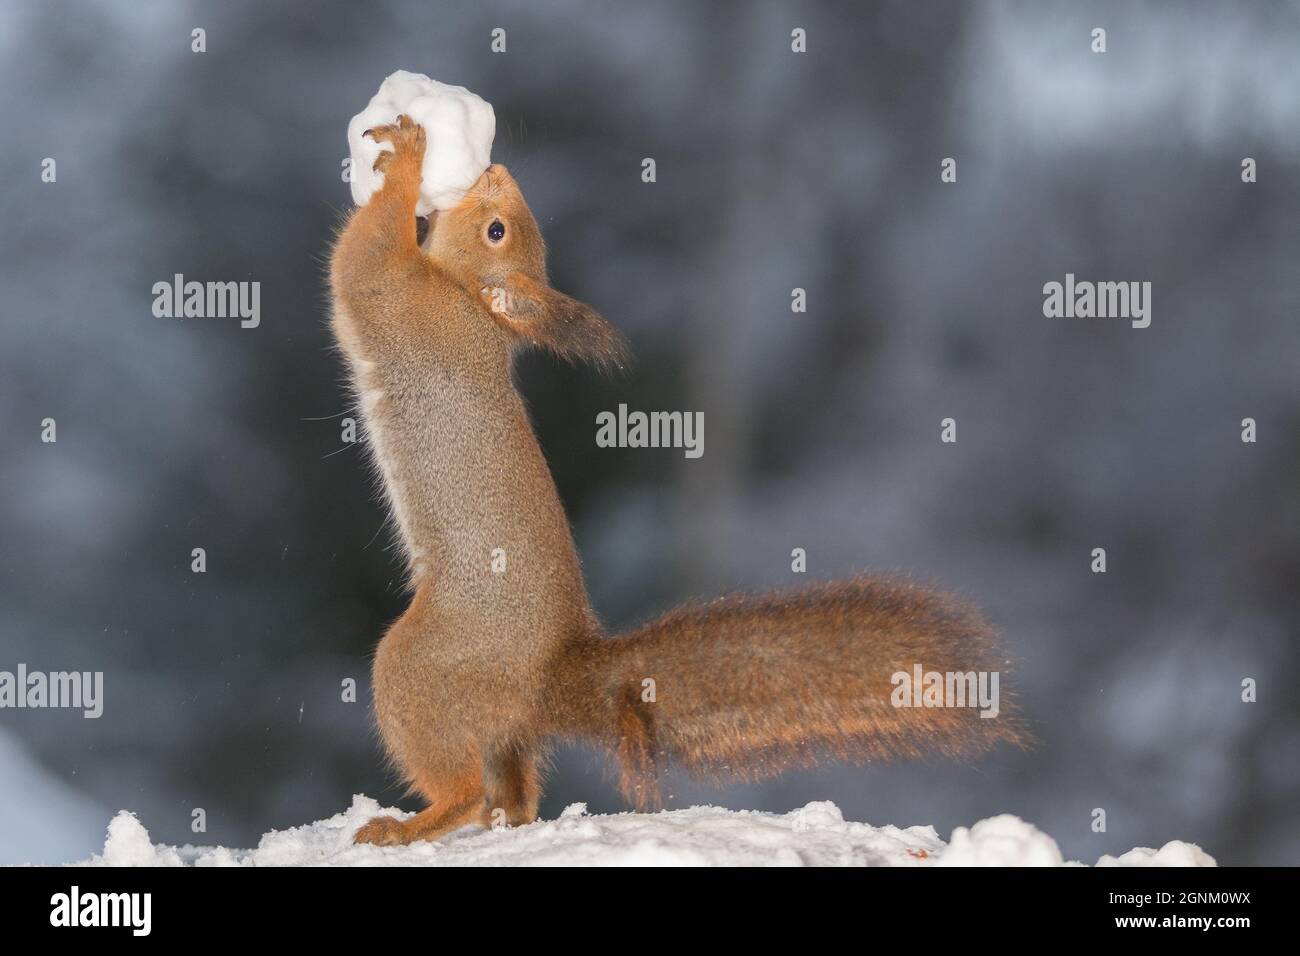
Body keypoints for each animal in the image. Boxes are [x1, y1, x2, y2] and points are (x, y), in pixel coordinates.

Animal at [329, 115, 1025, 846]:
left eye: (497, 232)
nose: (496, 172)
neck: (472, 308)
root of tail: (550, 673)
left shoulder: (402, 298)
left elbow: (364, 253)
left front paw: (405, 161)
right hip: (492, 721)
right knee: (514, 786)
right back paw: (500, 819)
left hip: (422, 669)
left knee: (462, 785)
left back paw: (410, 825)